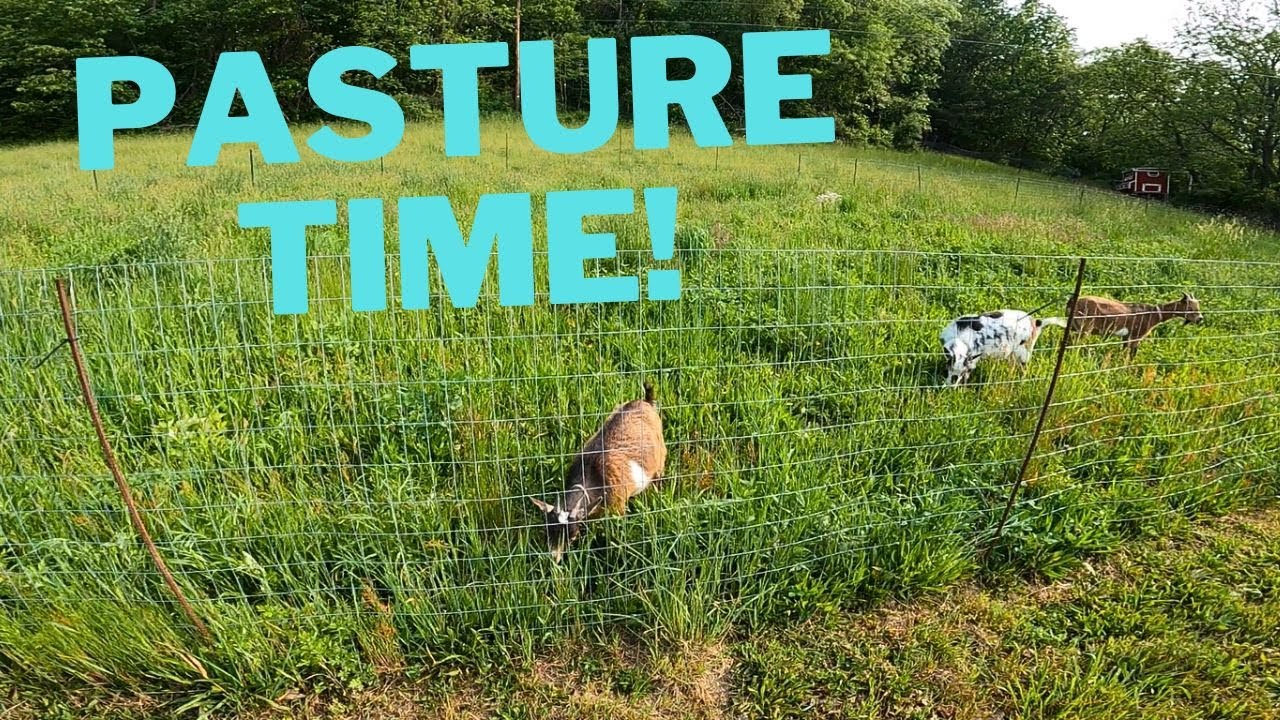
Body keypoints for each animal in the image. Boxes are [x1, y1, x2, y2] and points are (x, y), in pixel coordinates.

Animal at [530, 382, 667, 563]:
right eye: (547, 531)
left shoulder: (618, 507)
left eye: (572, 536)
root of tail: (645, 402)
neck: (593, 476)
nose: (554, 558)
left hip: (660, 461)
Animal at [1066, 292, 1203, 357]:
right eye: (1190, 308)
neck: (1153, 315)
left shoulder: (1126, 337)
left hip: (1074, 326)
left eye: (1198, 307)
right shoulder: (1136, 336)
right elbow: (1131, 355)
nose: (1200, 319)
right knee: (1076, 343)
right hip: (1084, 328)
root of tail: (1071, 302)